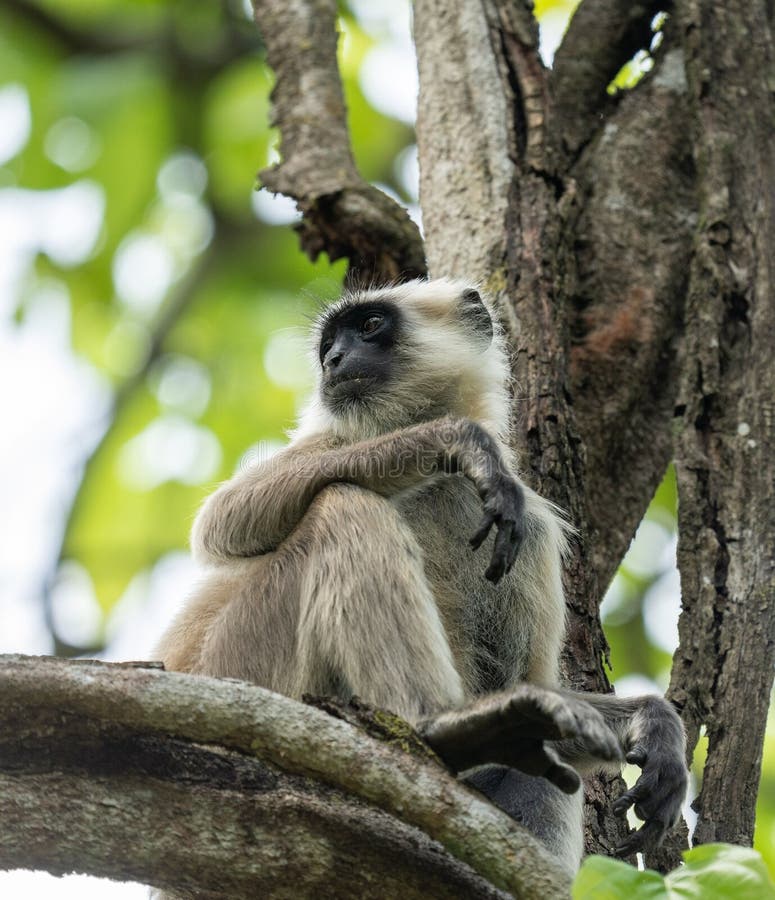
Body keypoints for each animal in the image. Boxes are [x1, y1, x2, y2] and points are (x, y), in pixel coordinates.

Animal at [157, 277, 688, 878]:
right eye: (328, 347)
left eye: (368, 326)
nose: (334, 360)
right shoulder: (332, 444)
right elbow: (222, 520)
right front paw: (457, 442)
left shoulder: (531, 529)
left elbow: (531, 686)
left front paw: (654, 725)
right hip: (244, 664)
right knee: (342, 502)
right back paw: (439, 729)